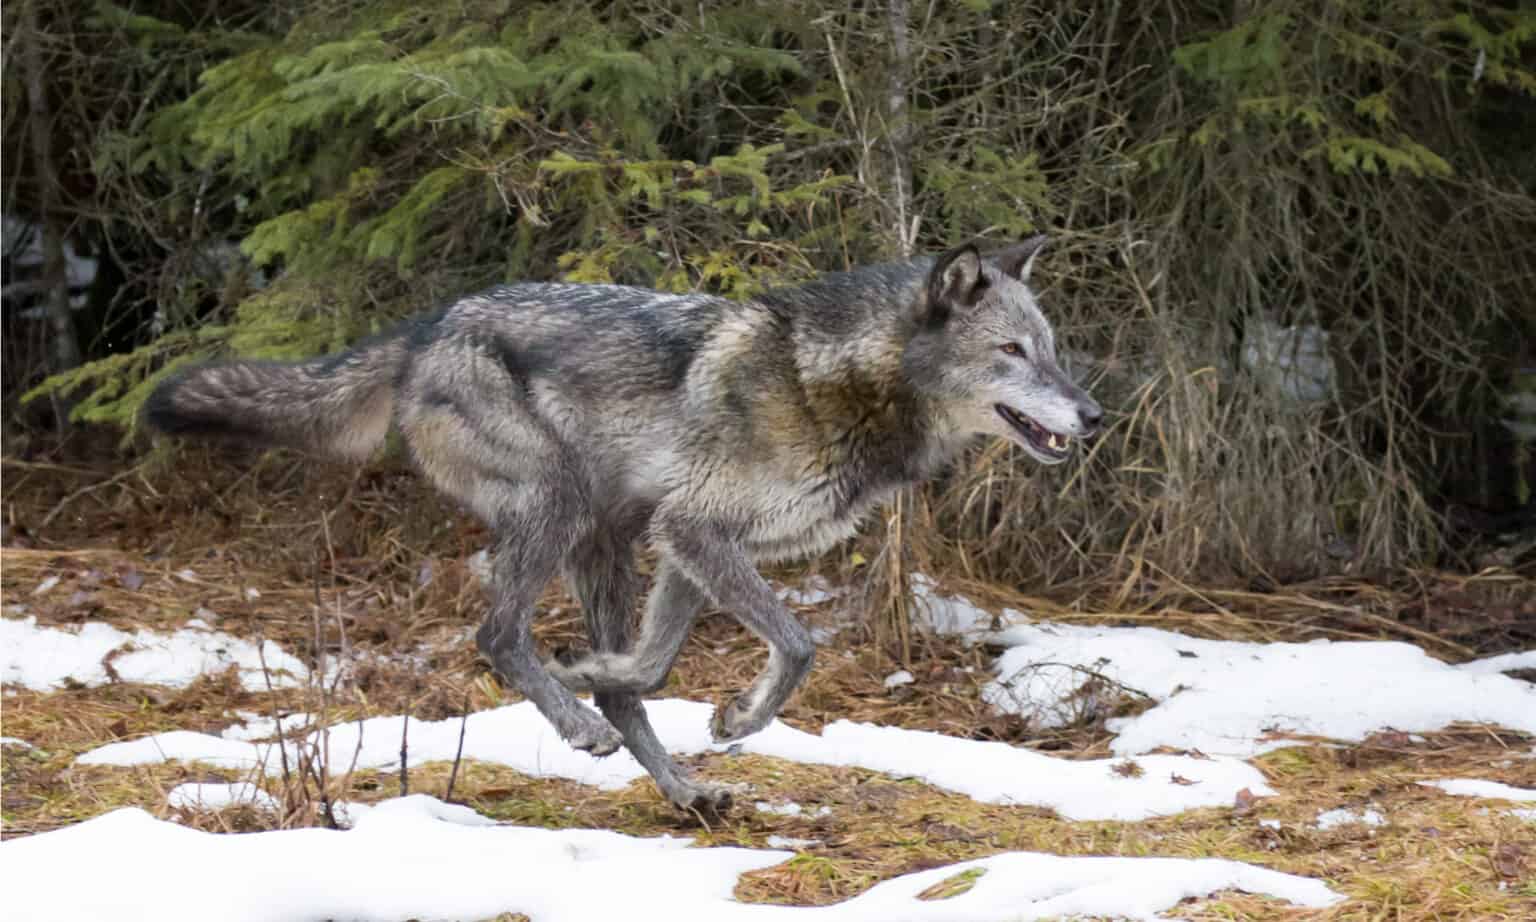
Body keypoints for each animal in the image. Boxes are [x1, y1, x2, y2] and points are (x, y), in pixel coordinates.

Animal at [145, 237, 1103, 812]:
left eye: (1054, 349)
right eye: (1012, 352)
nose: (1093, 415)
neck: (834, 383)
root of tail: (424, 328)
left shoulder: (685, 545)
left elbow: (649, 666)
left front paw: (640, 686)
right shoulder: (699, 532)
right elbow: (798, 647)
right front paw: (734, 720)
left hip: (604, 540)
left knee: (602, 683)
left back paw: (678, 786)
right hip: (560, 508)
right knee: (496, 636)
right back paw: (579, 727)